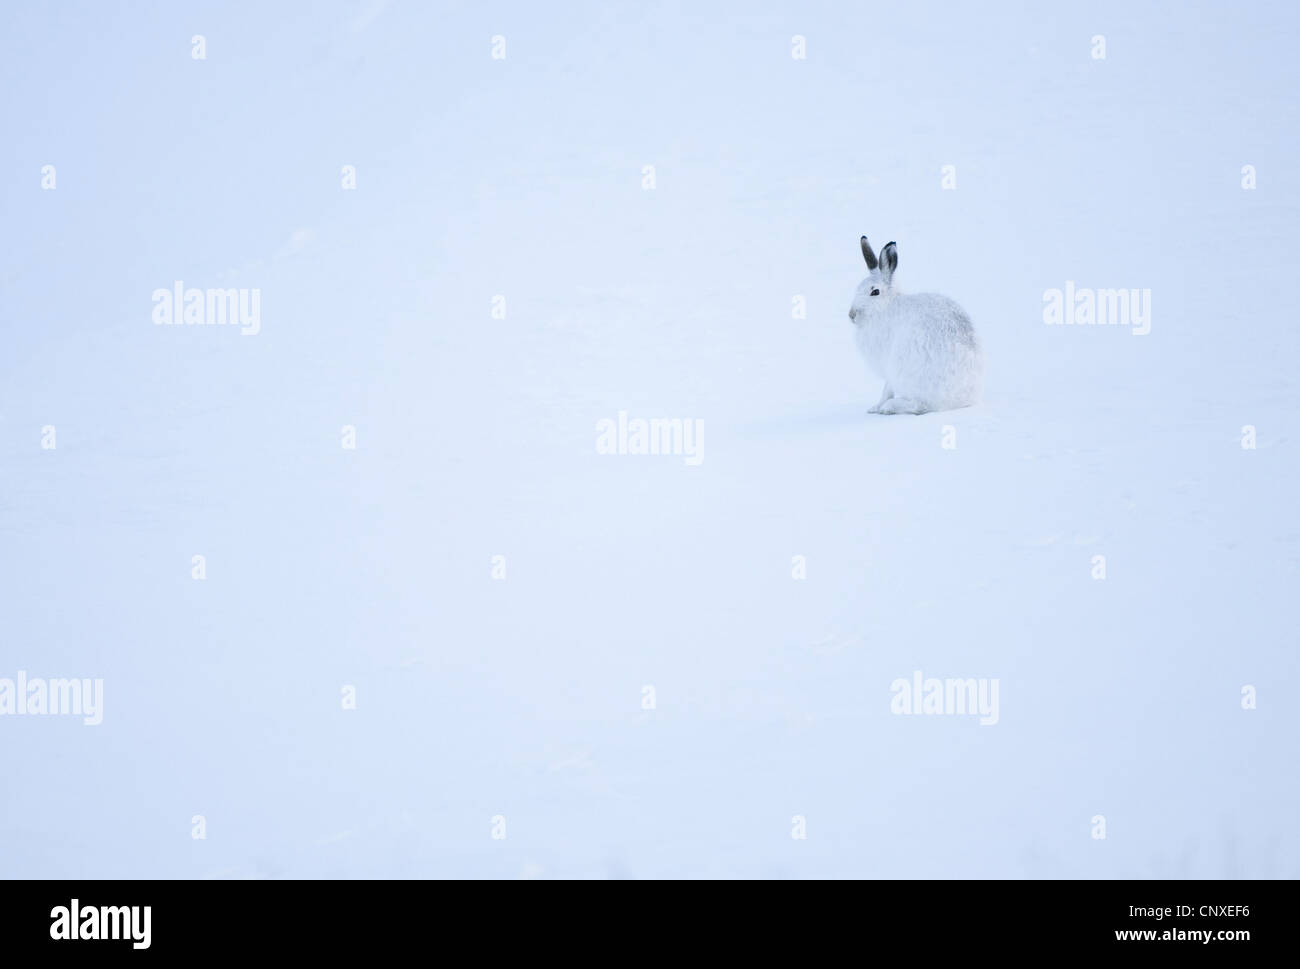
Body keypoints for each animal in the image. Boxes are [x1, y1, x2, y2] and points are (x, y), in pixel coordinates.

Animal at [849, 236, 984, 415]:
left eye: (875, 292)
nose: (851, 315)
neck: (886, 306)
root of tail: (957, 400)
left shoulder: (888, 364)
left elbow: (887, 389)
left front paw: (876, 407)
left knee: (920, 406)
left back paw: (889, 407)